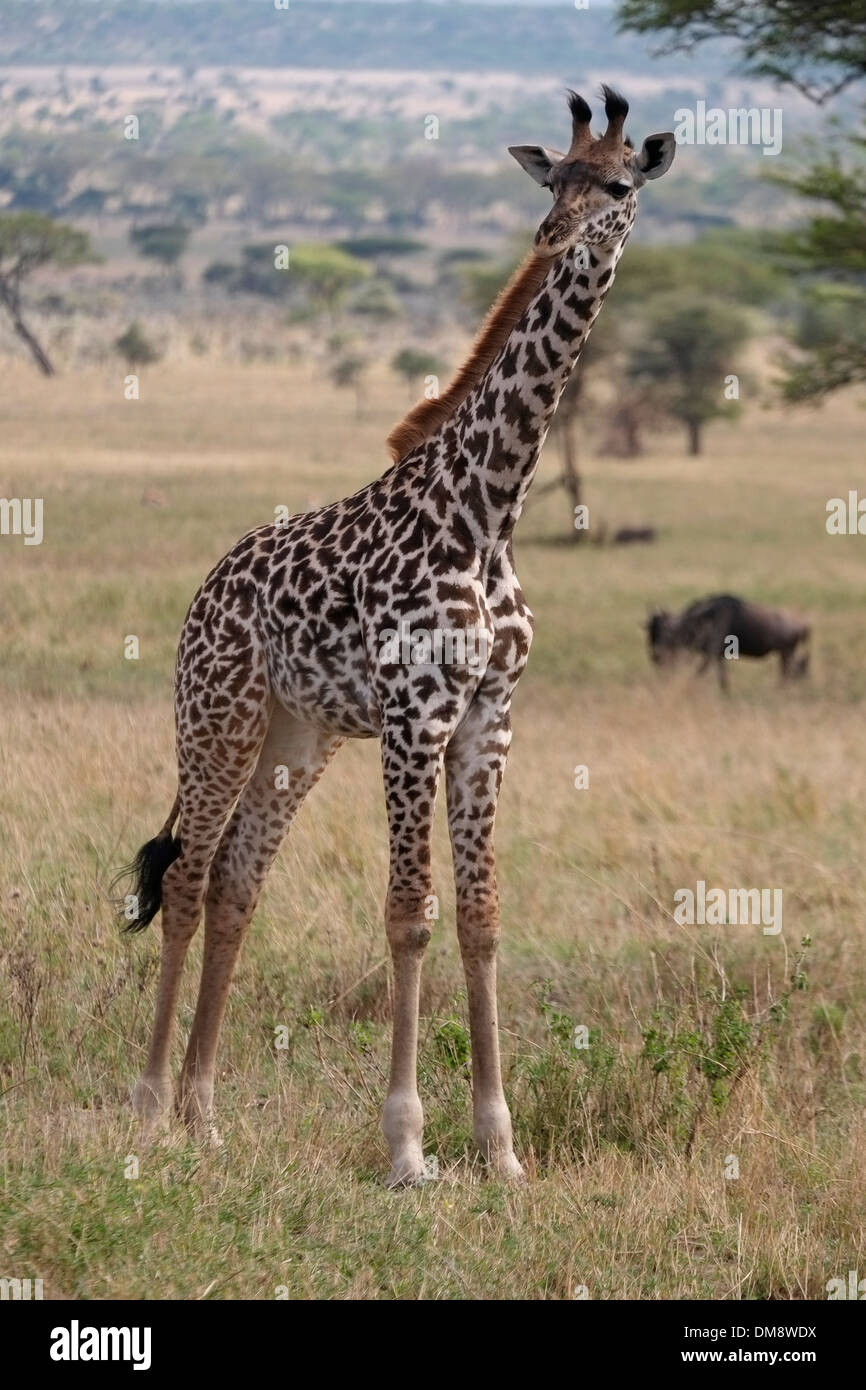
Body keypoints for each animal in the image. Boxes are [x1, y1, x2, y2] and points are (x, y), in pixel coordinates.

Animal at [120, 87, 675, 1187]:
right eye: (556, 179)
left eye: (618, 185)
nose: (553, 238)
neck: (489, 512)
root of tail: (205, 589)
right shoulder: (416, 718)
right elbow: (409, 915)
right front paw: (407, 1147)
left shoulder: (488, 718)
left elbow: (481, 917)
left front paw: (500, 1149)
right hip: (217, 720)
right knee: (192, 877)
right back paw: (155, 1110)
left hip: (299, 737)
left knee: (240, 880)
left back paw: (207, 1116)